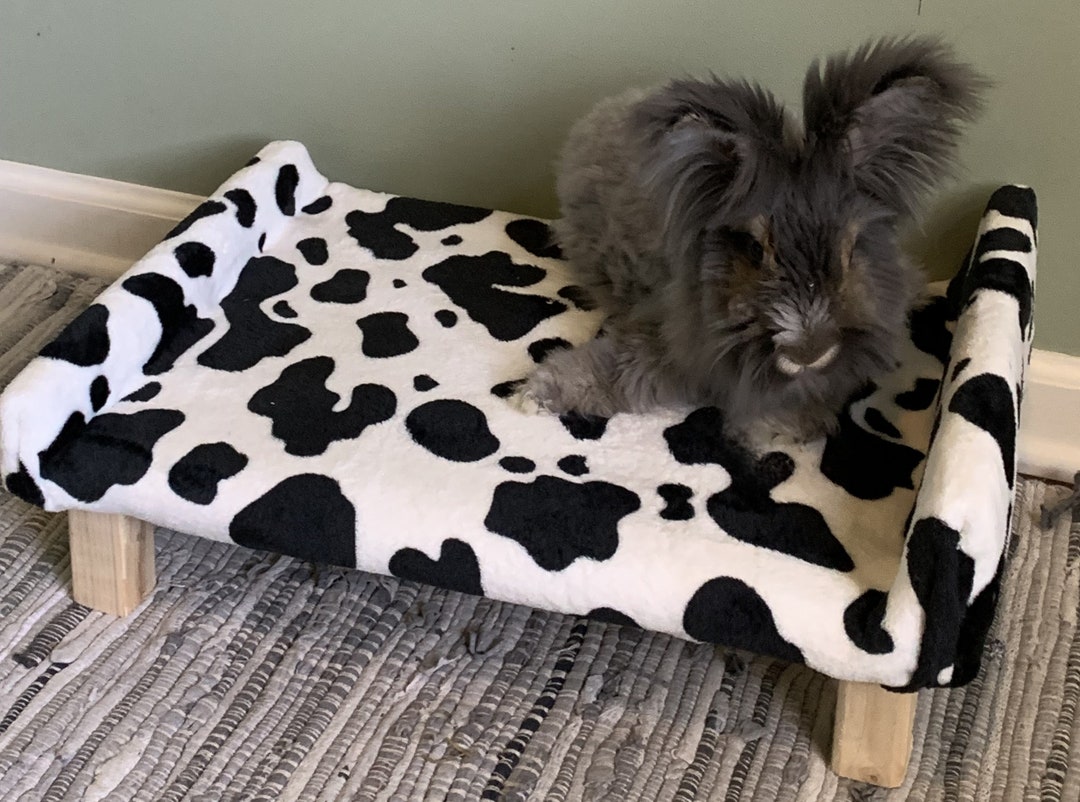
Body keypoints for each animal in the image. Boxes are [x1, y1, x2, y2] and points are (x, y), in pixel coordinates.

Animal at [518, 36, 988, 443]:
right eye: (754, 248)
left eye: (852, 248)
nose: (809, 351)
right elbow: (623, 369)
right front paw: (533, 394)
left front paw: (782, 429)